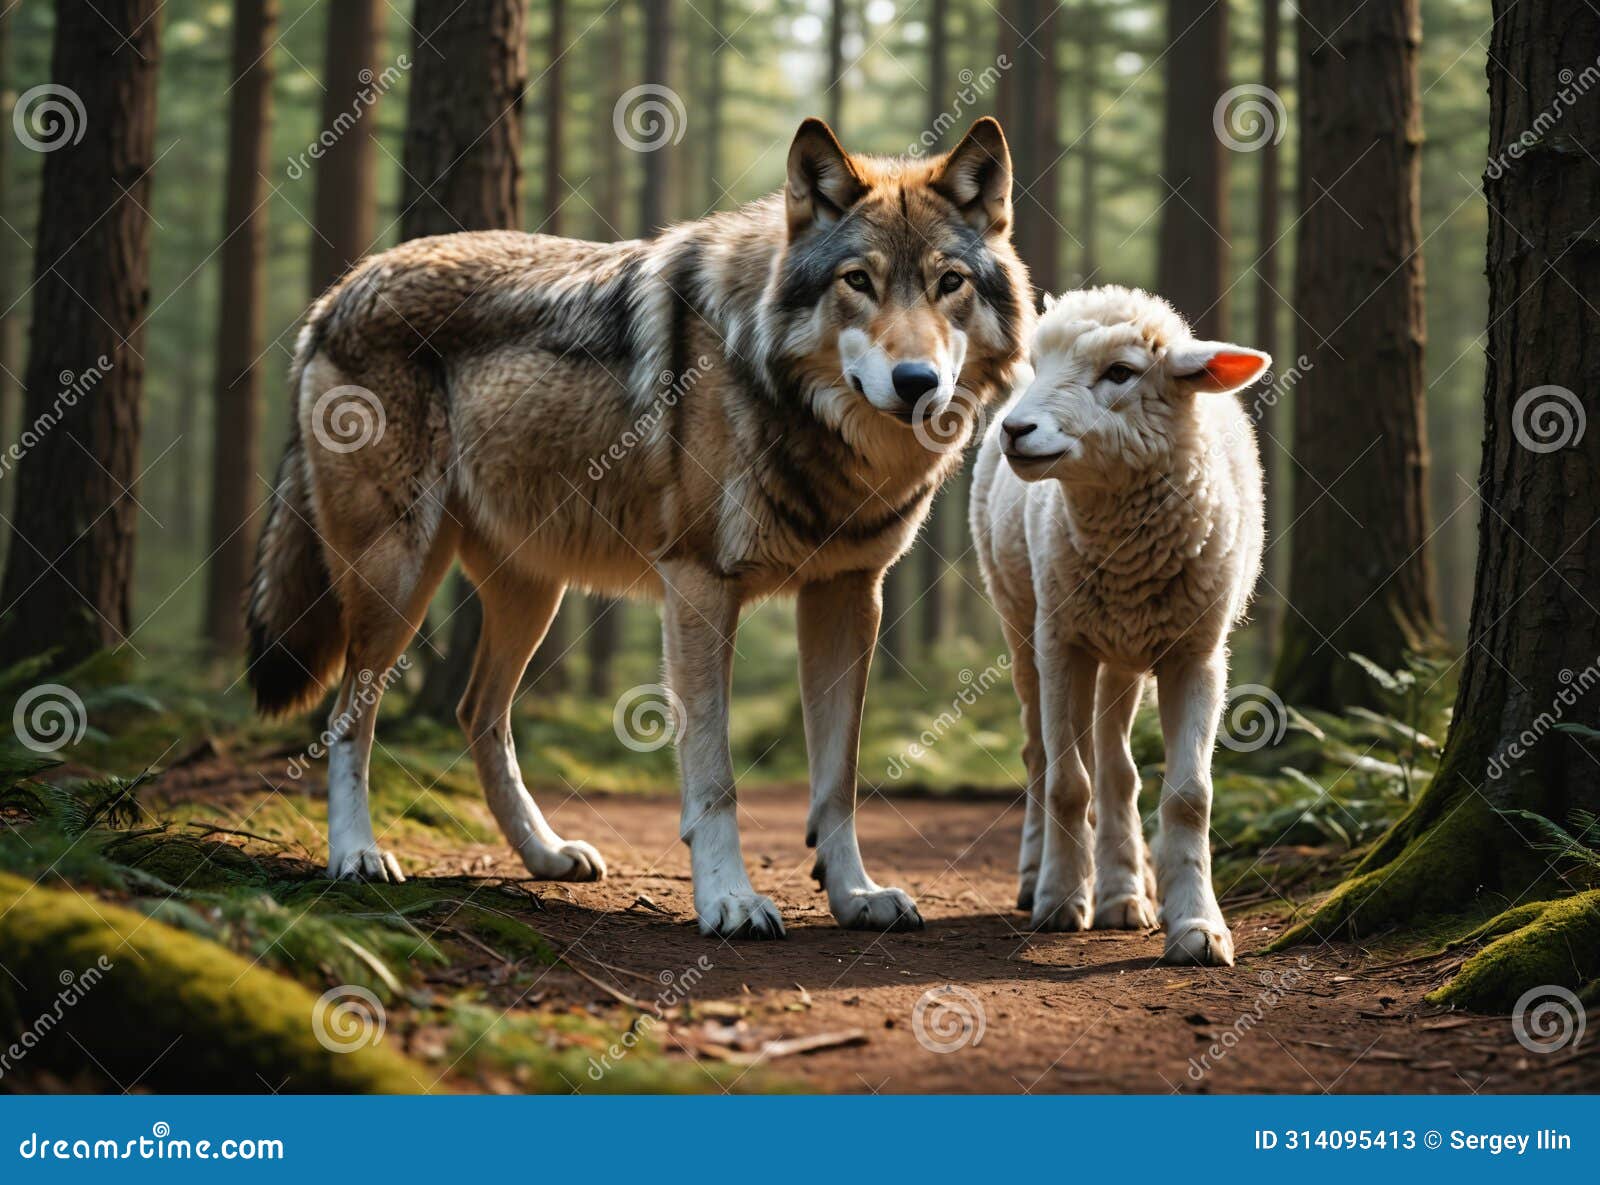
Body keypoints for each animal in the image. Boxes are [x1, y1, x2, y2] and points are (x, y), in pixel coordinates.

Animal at [246, 118, 1033, 939]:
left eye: (950, 283)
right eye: (858, 281)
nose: (918, 383)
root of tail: (337, 291)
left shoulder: (848, 594)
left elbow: (838, 780)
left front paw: (855, 895)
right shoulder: (698, 585)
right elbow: (715, 777)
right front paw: (730, 900)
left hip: (532, 593)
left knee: (477, 712)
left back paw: (545, 854)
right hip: (396, 578)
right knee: (349, 717)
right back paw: (356, 855)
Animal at [970, 285, 1270, 966]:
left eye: (1121, 373)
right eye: (1039, 364)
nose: (1016, 430)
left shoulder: (1197, 652)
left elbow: (1189, 795)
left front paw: (1197, 926)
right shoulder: (1060, 642)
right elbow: (1066, 782)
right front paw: (1059, 900)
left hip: (1124, 649)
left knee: (1115, 767)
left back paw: (1124, 892)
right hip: (1021, 619)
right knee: (1040, 755)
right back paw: (1040, 876)